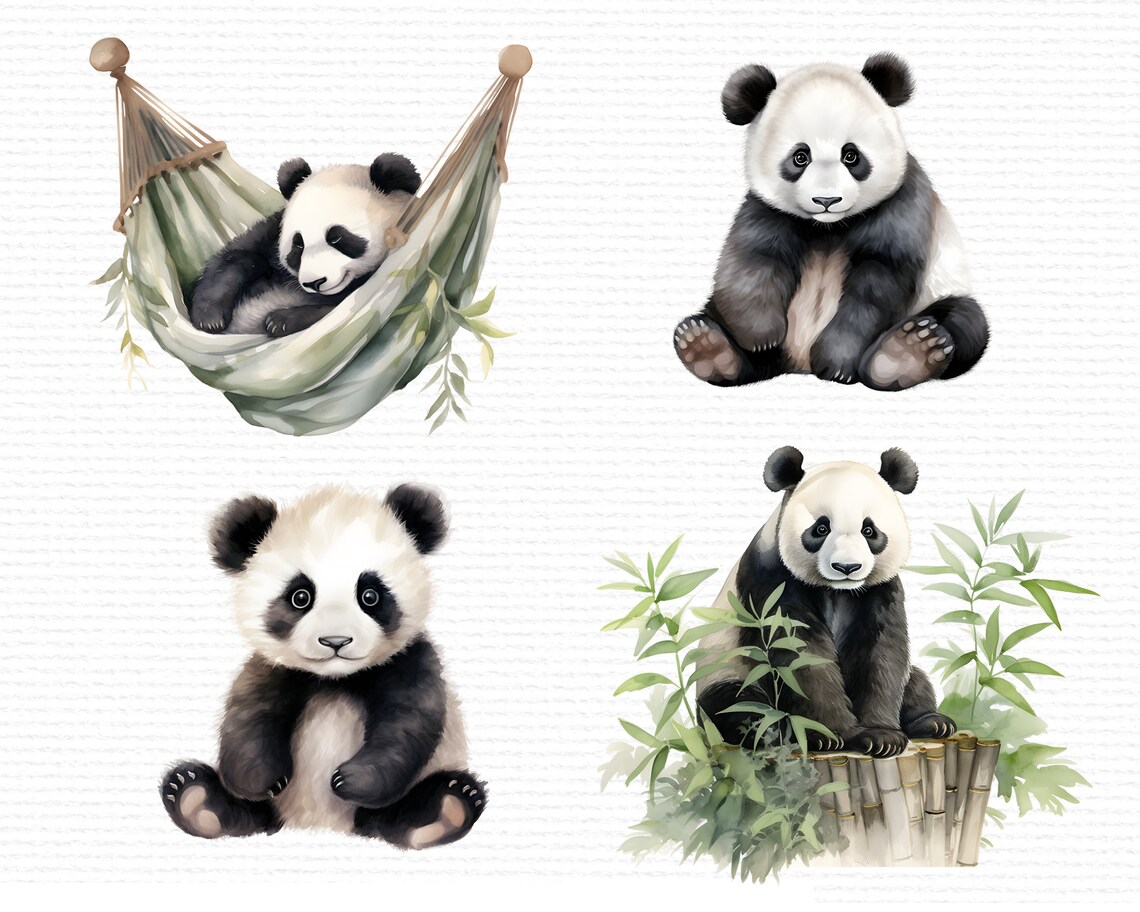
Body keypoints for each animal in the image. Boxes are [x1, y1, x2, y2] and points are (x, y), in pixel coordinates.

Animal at [161, 483, 486, 849]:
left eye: (370, 595)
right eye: (300, 596)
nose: (335, 641)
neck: (335, 679)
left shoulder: (410, 661)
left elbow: (408, 723)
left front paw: (354, 780)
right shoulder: (273, 668)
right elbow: (249, 716)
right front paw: (261, 779)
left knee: (396, 816)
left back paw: (443, 810)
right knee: (246, 813)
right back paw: (197, 799)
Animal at [189, 153, 420, 337]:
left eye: (336, 238)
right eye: (298, 244)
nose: (314, 282)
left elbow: (331, 311)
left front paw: (279, 321)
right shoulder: (270, 234)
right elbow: (235, 256)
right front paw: (209, 318)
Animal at [674, 54, 989, 391]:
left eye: (851, 156)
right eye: (800, 157)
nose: (827, 200)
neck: (829, 227)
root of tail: (797, 363)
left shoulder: (902, 202)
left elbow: (878, 282)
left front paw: (837, 361)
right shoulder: (768, 210)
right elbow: (750, 261)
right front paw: (761, 335)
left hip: (941, 291)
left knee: (964, 319)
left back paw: (905, 354)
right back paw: (708, 347)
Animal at [696, 446, 956, 758]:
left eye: (869, 531)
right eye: (821, 529)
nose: (847, 567)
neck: (835, 590)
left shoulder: (877, 589)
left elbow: (880, 652)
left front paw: (882, 734)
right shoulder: (771, 578)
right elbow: (799, 653)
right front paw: (828, 735)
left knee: (915, 680)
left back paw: (932, 722)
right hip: (725, 668)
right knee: (738, 705)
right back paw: (779, 731)